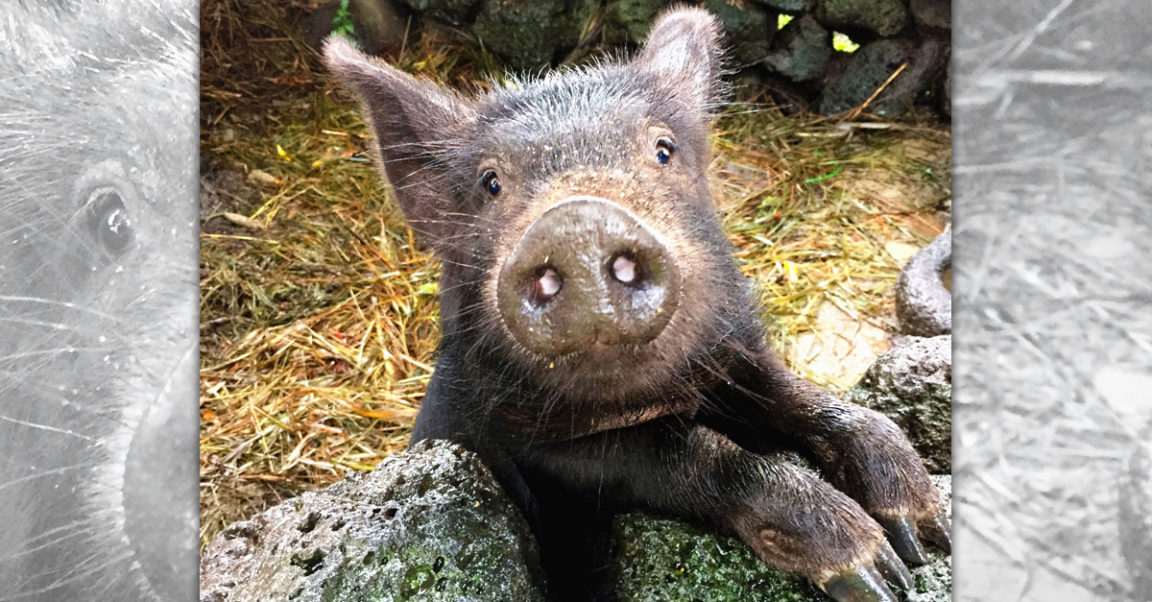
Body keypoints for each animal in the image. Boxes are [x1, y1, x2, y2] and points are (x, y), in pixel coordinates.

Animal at [324, 7, 950, 601]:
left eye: (663, 149)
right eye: (491, 183)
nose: (578, 223)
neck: (650, 397)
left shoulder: (734, 351)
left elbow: (807, 400)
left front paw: (923, 536)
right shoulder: (531, 446)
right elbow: (680, 452)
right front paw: (879, 572)